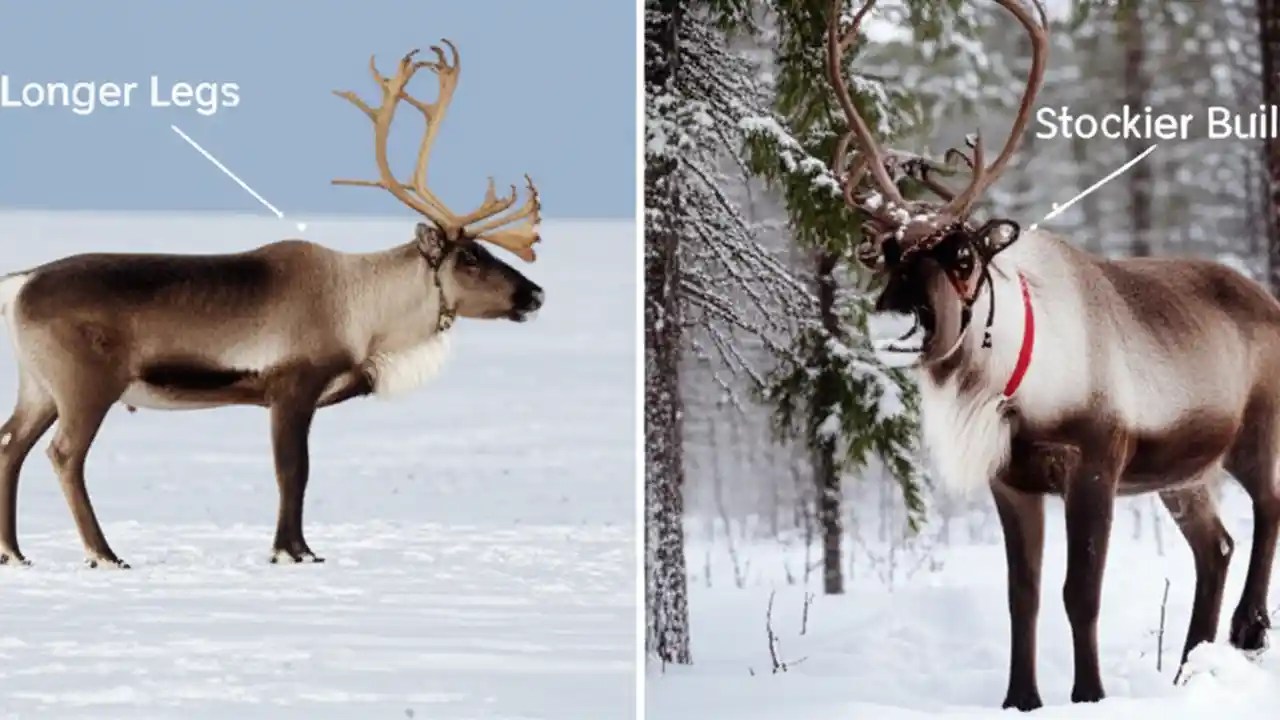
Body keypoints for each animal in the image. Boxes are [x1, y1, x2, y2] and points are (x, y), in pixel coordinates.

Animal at [0, 39, 545, 570]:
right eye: (469, 257)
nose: (535, 294)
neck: (363, 314)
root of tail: (23, 283)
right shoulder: (292, 387)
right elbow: (293, 471)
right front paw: (293, 550)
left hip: (38, 387)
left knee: (10, 445)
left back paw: (15, 553)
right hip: (84, 387)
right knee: (64, 454)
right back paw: (105, 554)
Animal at [825, 0, 1279, 710]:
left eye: (963, 256)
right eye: (888, 254)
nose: (895, 322)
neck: (1012, 385)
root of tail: (1269, 297)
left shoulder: (1095, 460)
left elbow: (1079, 592)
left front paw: (1088, 695)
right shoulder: (1011, 479)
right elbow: (1025, 595)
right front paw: (1020, 700)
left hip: (1253, 432)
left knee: (1269, 508)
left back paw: (1249, 628)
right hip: (1183, 474)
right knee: (1217, 546)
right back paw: (1187, 667)